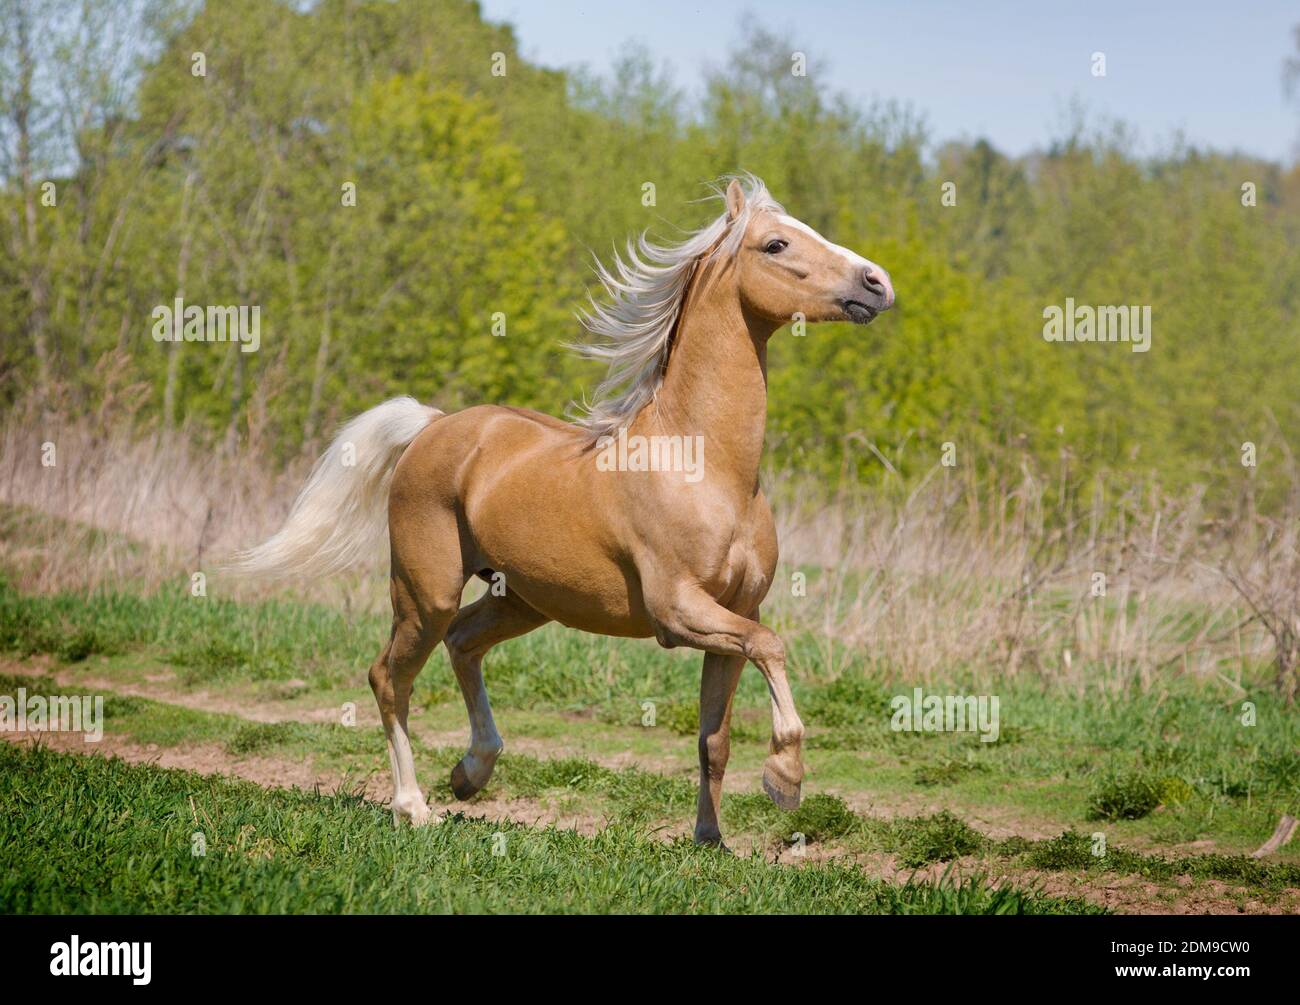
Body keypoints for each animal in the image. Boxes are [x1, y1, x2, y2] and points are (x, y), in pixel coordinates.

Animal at [236, 175, 894, 847]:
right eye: (776, 243)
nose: (877, 283)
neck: (709, 470)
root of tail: (435, 426)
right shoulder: (679, 611)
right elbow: (772, 647)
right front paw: (785, 780)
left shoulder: (734, 615)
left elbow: (715, 738)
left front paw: (711, 842)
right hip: (426, 591)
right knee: (390, 677)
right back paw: (414, 806)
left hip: (523, 598)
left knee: (463, 643)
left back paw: (471, 773)